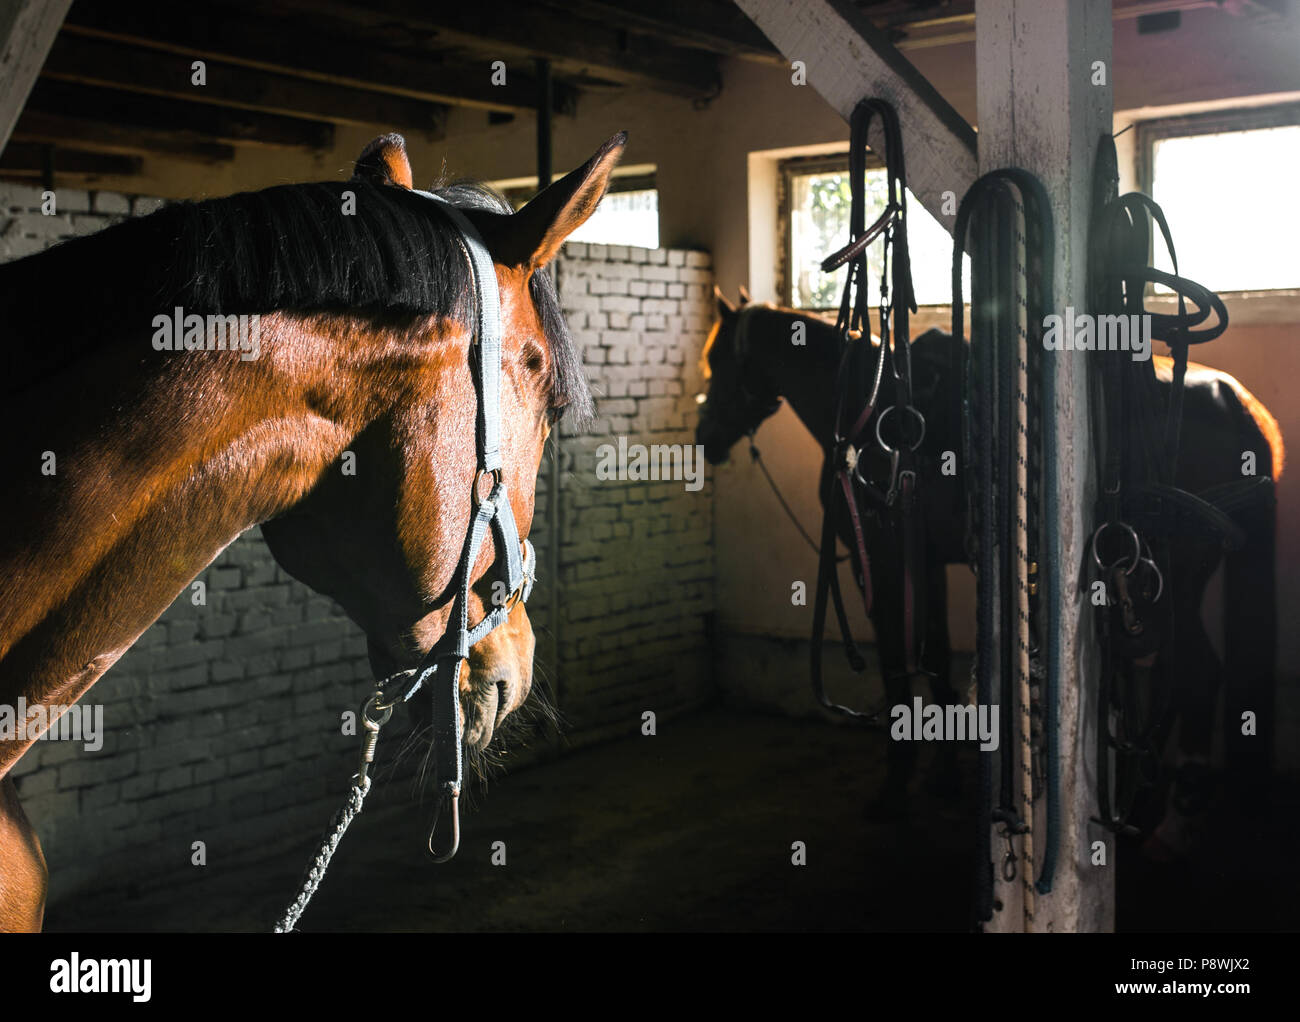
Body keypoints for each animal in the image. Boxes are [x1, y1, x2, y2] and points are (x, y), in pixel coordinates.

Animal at [696, 292, 1281, 842]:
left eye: (717, 360)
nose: (704, 437)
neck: (866, 411)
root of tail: (1236, 401)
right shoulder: (925, 563)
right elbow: (934, 658)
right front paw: (943, 775)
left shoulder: (881, 566)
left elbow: (895, 667)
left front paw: (894, 788)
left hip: (1170, 580)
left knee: (1193, 673)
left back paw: (1156, 811)